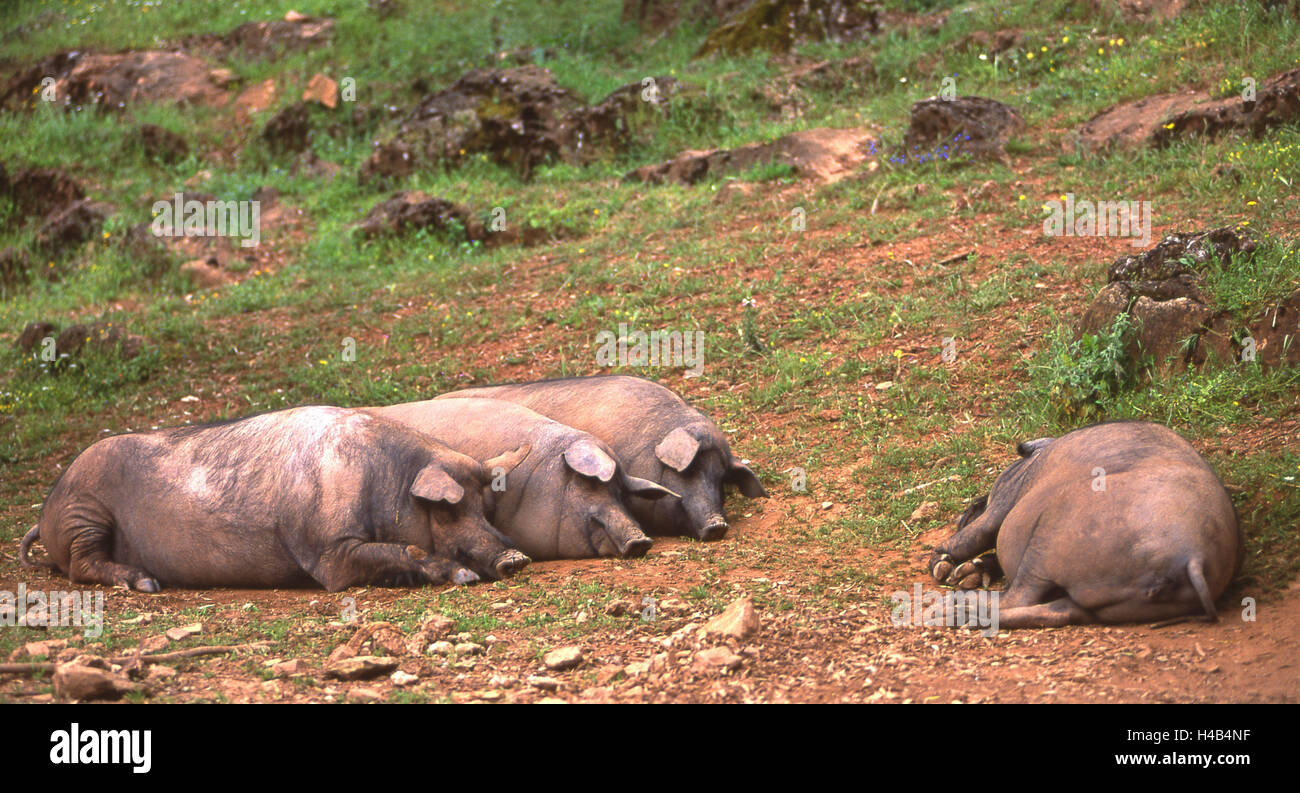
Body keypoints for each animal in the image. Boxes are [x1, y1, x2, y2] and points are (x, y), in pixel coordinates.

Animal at [19, 405, 530, 592]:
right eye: (447, 508)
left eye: (484, 507)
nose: (516, 558)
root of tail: (46, 512)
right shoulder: (326, 552)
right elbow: (403, 549)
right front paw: (463, 575)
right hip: (85, 514)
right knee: (82, 566)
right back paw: (145, 583)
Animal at [928, 421, 1242, 628]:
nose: (970, 508)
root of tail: (1192, 557)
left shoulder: (1008, 495)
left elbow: (978, 532)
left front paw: (940, 565)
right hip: (1108, 603)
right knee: (1059, 612)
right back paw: (957, 613)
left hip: (1053, 531)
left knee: (1018, 595)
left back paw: (949, 608)